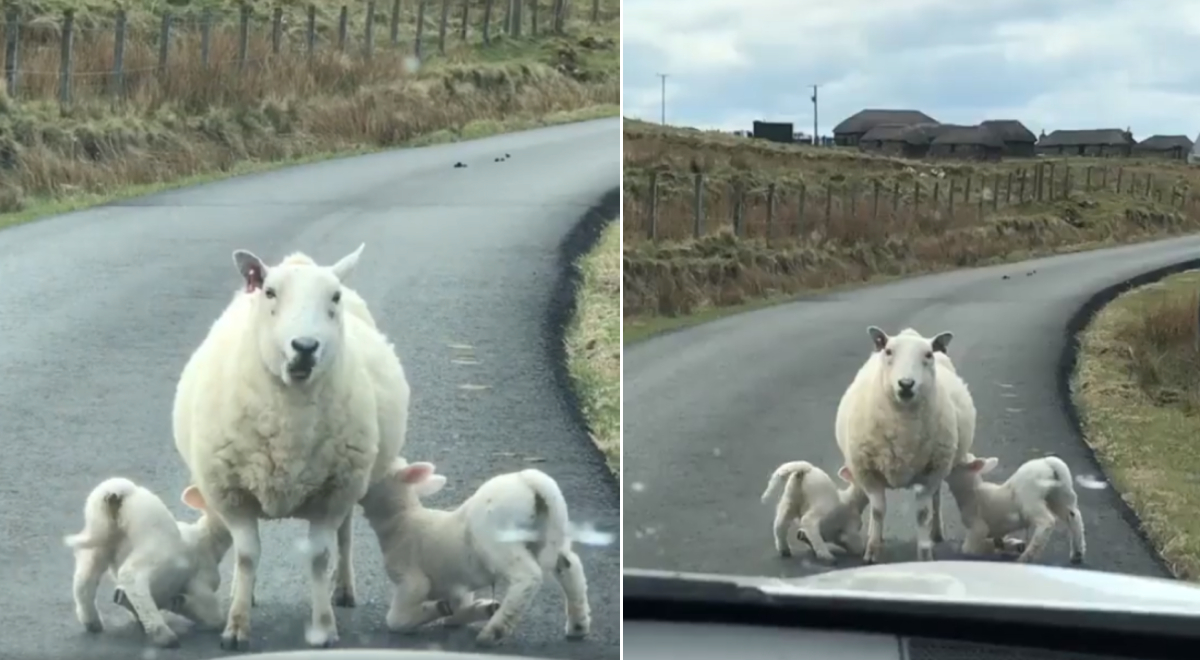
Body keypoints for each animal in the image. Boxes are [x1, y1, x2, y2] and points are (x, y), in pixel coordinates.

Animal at [63, 478, 231, 648]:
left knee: (85, 579)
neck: (210, 537)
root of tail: (119, 492)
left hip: (100, 536)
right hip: (155, 548)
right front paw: (180, 604)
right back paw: (163, 634)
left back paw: (92, 622)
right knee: (131, 575)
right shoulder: (200, 582)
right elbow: (216, 617)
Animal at [172, 244, 411, 649]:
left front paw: (324, 627)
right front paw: (236, 625)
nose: (305, 347)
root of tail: (300, 259)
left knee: (345, 534)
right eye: (270, 293)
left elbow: (319, 556)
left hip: (354, 481)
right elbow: (247, 555)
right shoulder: (231, 493)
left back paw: (343, 589)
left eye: (334, 297)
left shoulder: (334, 492)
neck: (289, 429)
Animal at [358, 459, 591, 647]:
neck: (401, 520)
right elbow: (457, 613)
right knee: (571, 567)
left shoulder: (411, 580)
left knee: (528, 576)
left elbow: (397, 620)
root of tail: (529, 480)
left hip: (498, 539)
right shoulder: (457, 586)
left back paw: (494, 631)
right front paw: (479, 609)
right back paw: (578, 625)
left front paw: (433, 610)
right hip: (552, 531)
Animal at [835, 326, 975, 563]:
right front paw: (872, 551)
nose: (906, 384)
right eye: (889, 352)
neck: (904, 429)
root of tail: (910, 332)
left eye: (928, 355)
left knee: (936, 499)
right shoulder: (867, 471)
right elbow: (878, 511)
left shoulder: (931, 473)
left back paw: (936, 532)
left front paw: (925, 555)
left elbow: (922, 514)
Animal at [945, 453, 1086, 564]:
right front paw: (1013, 545)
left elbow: (970, 548)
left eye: (954, 464)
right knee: (1073, 515)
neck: (972, 493)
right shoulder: (1000, 528)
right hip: (1060, 492)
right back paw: (1077, 553)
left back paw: (1025, 558)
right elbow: (999, 540)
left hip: (1030, 497)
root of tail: (1048, 463)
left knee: (1047, 521)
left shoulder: (977, 527)